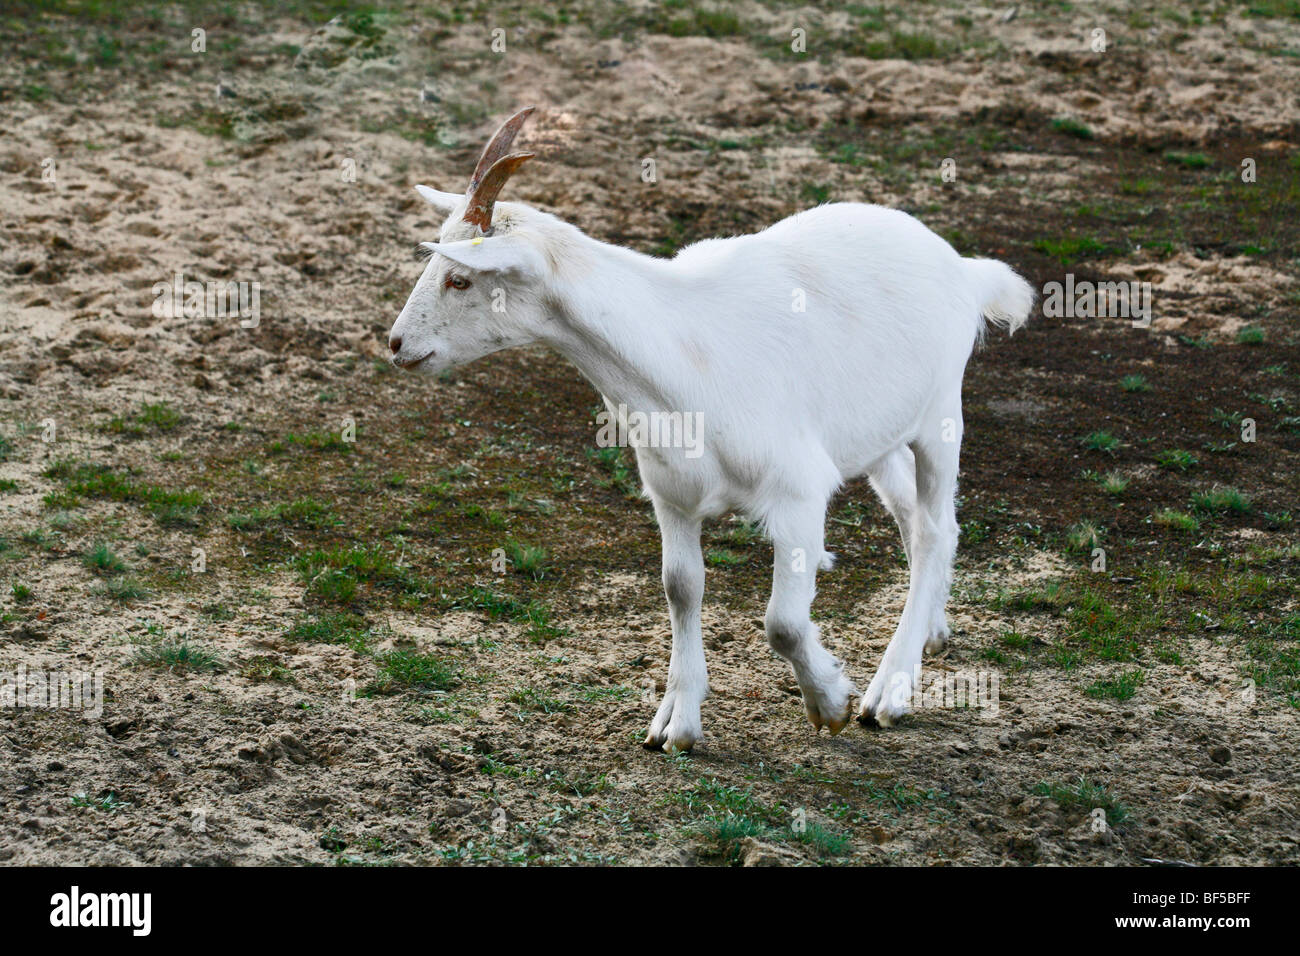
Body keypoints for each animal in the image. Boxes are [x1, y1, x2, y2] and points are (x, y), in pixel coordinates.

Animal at [388, 108, 1034, 752]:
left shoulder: (798, 491)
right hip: (877, 436)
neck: (680, 351)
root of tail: (963, 268)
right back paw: (932, 632)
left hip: (940, 414)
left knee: (933, 529)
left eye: (460, 280)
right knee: (913, 516)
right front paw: (676, 721)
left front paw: (829, 701)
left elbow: (783, 623)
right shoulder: (672, 495)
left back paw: (889, 690)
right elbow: (681, 586)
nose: (397, 344)